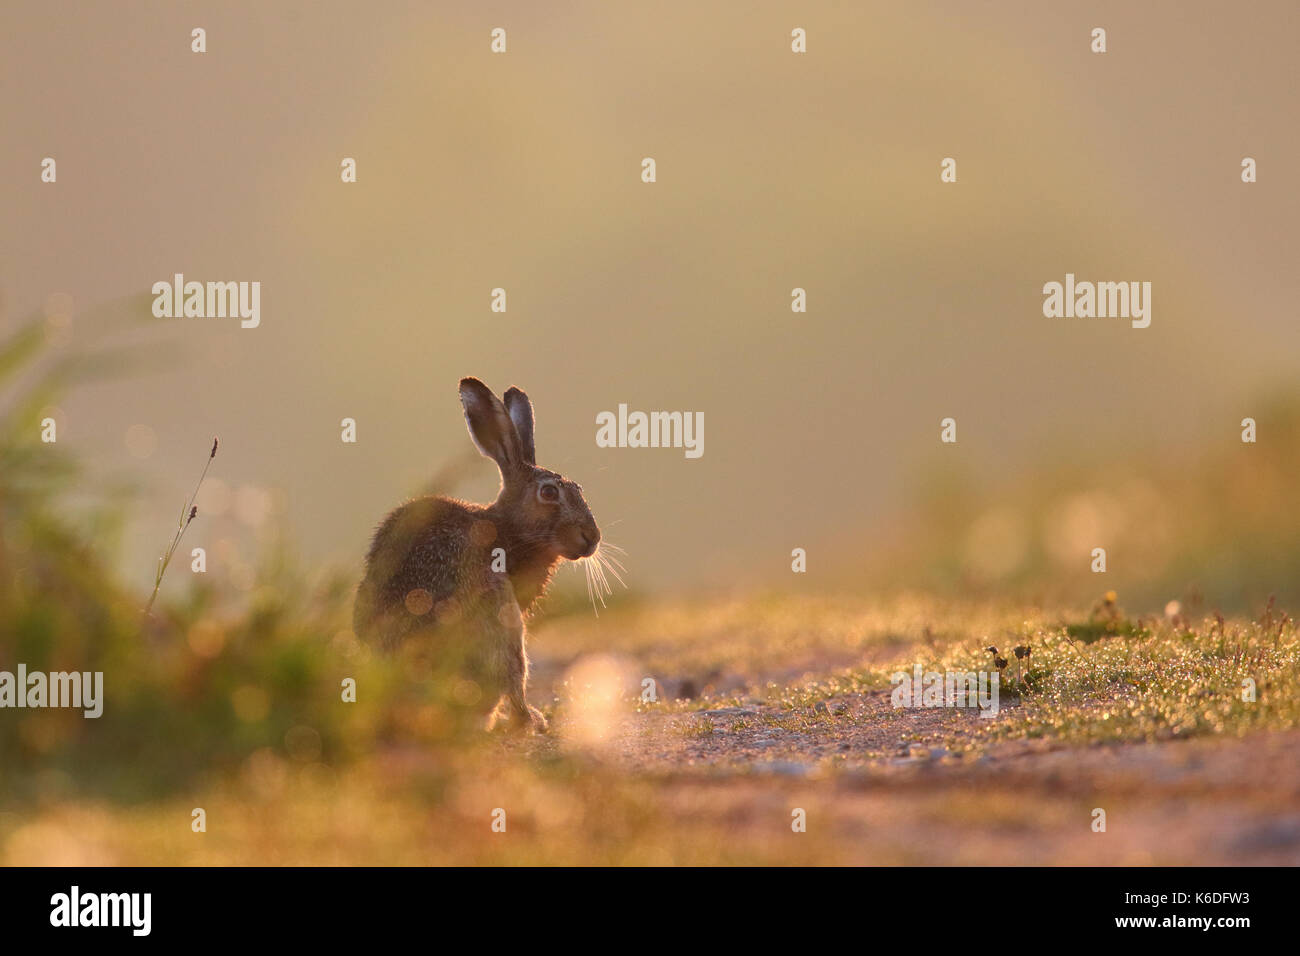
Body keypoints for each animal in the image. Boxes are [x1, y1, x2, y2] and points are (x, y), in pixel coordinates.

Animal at [353, 377, 601, 733]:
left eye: (579, 489)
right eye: (549, 492)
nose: (592, 538)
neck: (508, 527)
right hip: (501, 617)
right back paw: (529, 720)